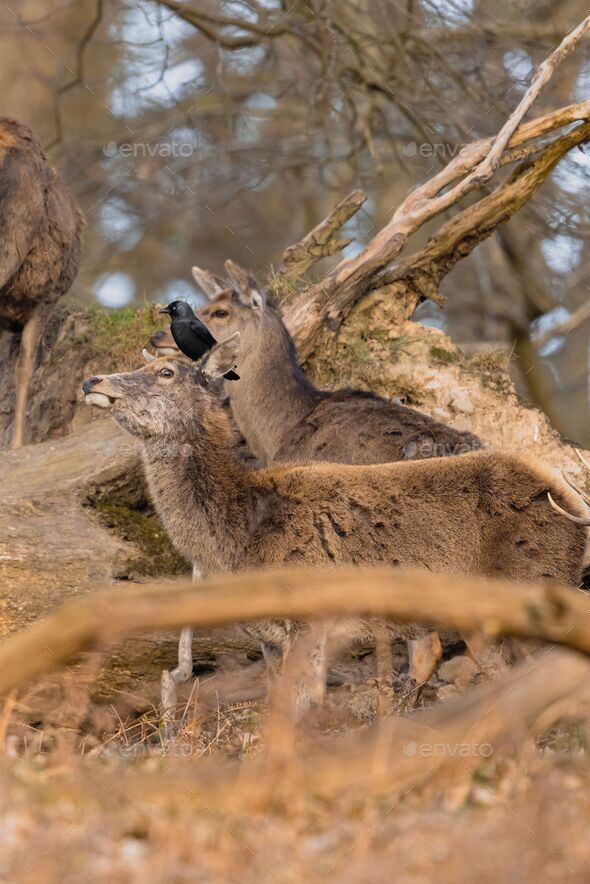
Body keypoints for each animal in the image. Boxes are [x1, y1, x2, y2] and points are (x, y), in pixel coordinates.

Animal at [82, 337, 587, 711]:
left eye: (166, 372)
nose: (92, 379)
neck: (237, 534)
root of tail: (571, 506)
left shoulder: (309, 615)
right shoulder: (268, 637)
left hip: (525, 587)